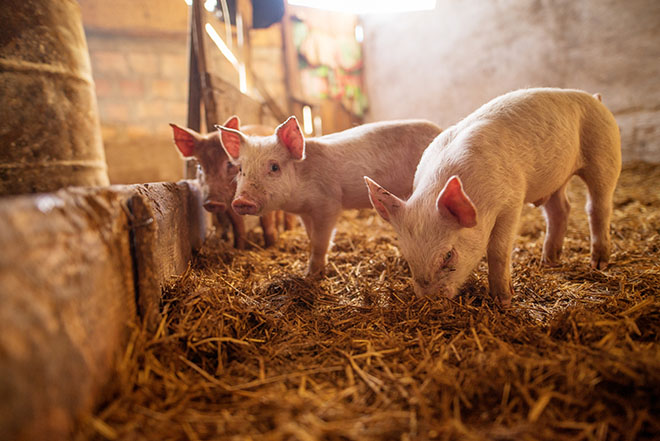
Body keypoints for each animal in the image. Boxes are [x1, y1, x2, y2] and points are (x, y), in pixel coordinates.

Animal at [170, 117, 295, 249]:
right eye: (199, 166)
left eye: (229, 163)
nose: (212, 202)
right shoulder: (230, 203)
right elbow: (237, 225)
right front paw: (238, 248)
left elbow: (267, 224)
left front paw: (270, 247)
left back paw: (288, 232)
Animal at [216, 117, 442, 276]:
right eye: (241, 169)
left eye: (274, 167)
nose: (241, 201)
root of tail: (440, 129)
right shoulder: (305, 213)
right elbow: (310, 237)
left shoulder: (328, 204)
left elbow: (319, 241)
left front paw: (311, 275)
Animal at [365, 88, 621, 307]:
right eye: (408, 256)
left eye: (448, 255)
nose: (429, 300)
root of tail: (595, 99)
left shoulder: (511, 202)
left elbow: (497, 250)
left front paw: (504, 301)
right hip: (554, 179)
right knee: (560, 210)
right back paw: (549, 261)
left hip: (605, 154)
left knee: (598, 206)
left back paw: (598, 263)